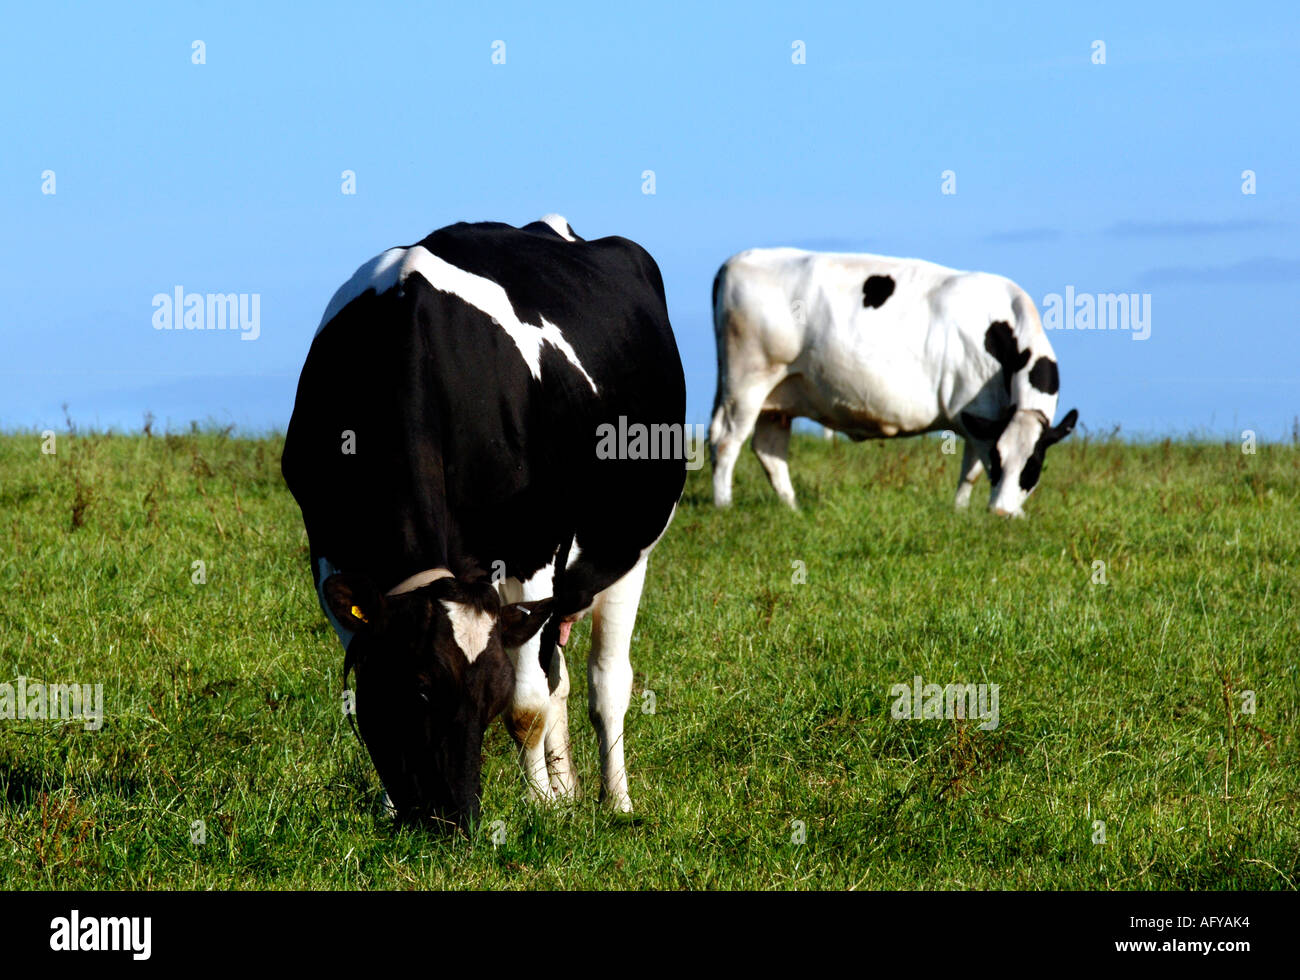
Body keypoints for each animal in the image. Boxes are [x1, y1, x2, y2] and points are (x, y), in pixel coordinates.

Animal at [281, 215, 685, 829]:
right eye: (420, 688)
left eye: (488, 695)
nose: (452, 818)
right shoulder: (330, 548)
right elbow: (363, 673)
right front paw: (390, 803)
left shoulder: (534, 549)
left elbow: (527, 704)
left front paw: (538, 802)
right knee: (558, 674)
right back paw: (568, 790)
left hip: (627, 545)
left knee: (605, 682)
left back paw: (614, 800)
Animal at [709, 248, 1078, 516]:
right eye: (1005, 461)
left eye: (1034, 464)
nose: (1001, 514)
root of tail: (736, 259)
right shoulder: (976, 413)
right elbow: (977, 468)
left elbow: (970, 470)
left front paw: (961, 512)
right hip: (747, 381)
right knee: (727, 441)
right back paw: (724, 505)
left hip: (778, 395)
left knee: (767, 449)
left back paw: (793, 509)